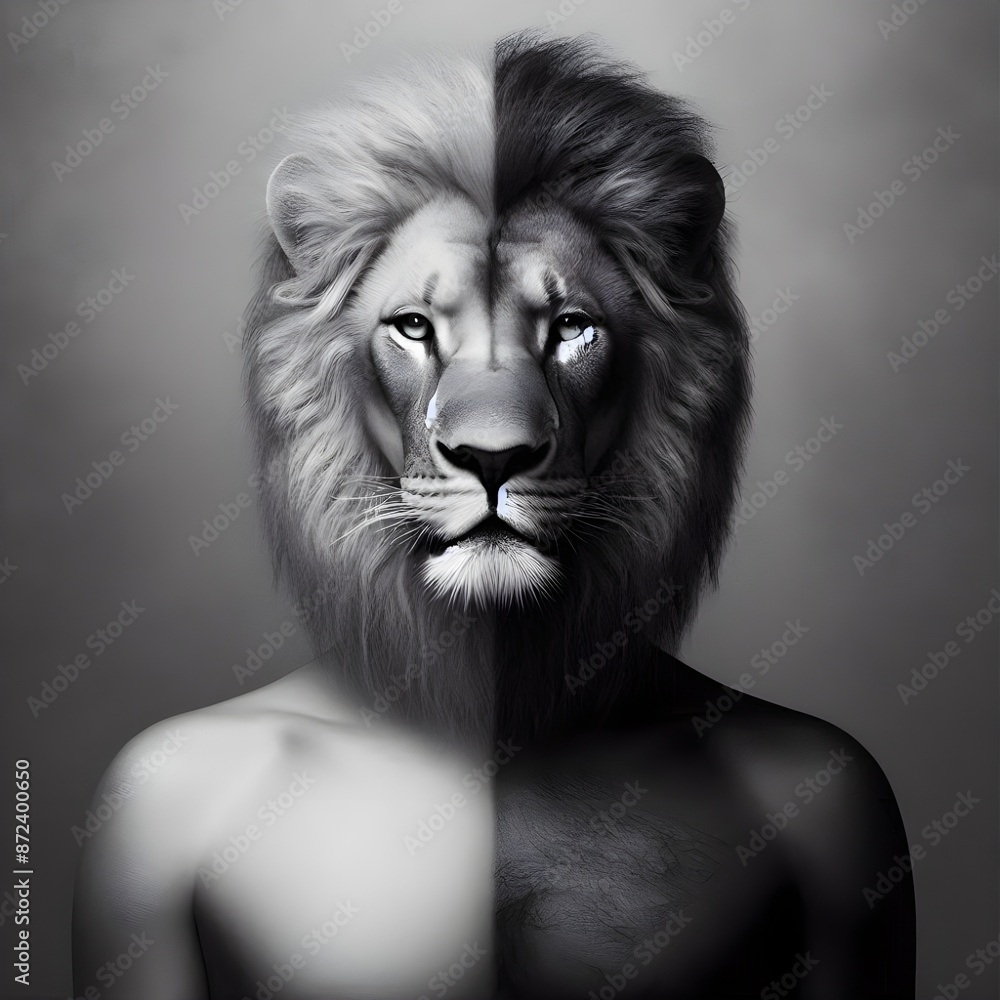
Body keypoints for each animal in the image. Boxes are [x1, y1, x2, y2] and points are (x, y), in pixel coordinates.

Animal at [74, 32, 914, 999]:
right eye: (412, 327)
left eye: (572, 327)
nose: (492, 458)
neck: (496, 699)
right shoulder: (145, 799)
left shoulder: (846, 797)